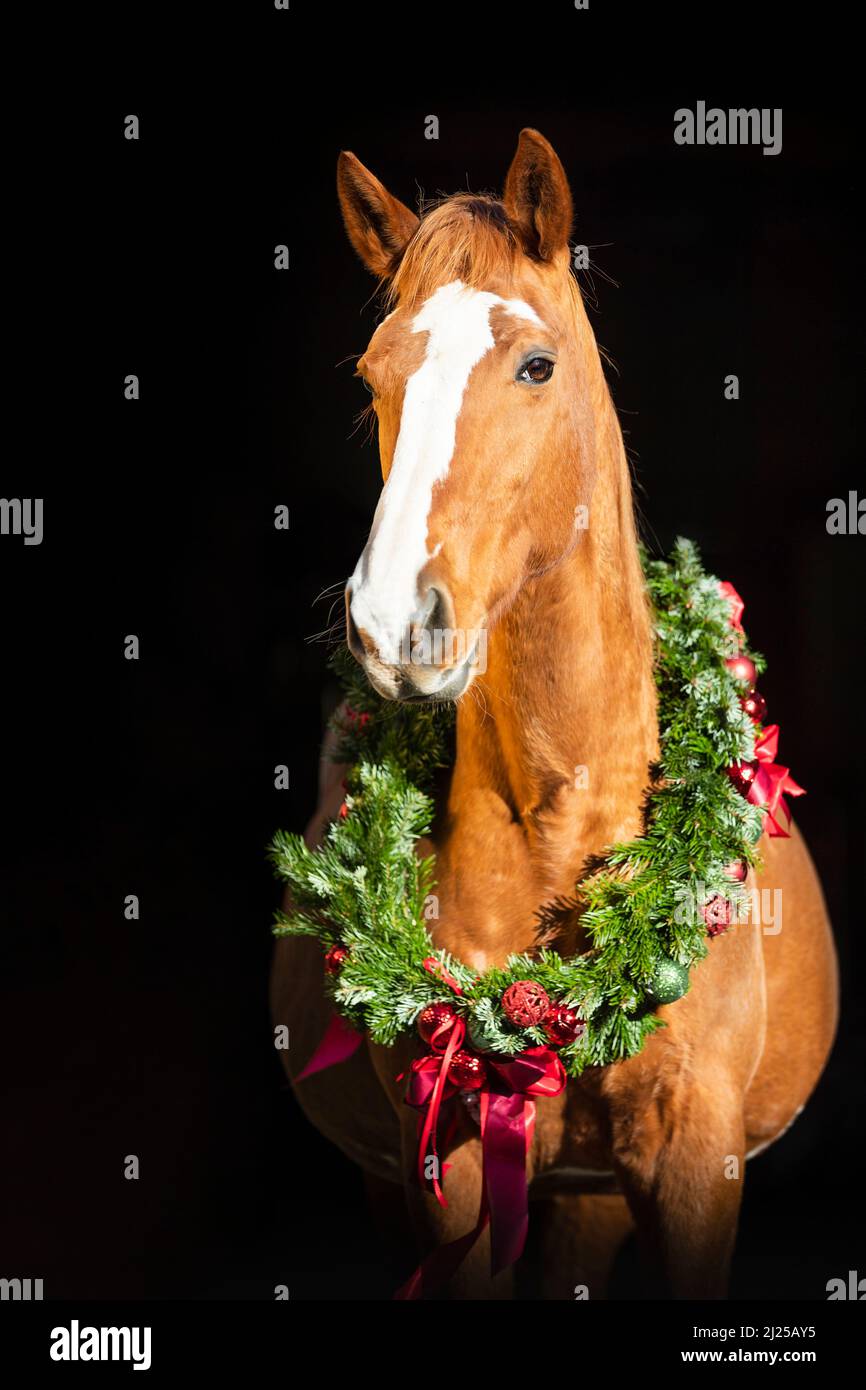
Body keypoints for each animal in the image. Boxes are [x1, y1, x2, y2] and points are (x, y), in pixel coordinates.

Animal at [270, 129, 838, 1299]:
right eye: (373, 375)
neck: (563, 818)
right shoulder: (449, 1170)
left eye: (535, 366)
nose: (396, 623)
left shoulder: (694, 1167)